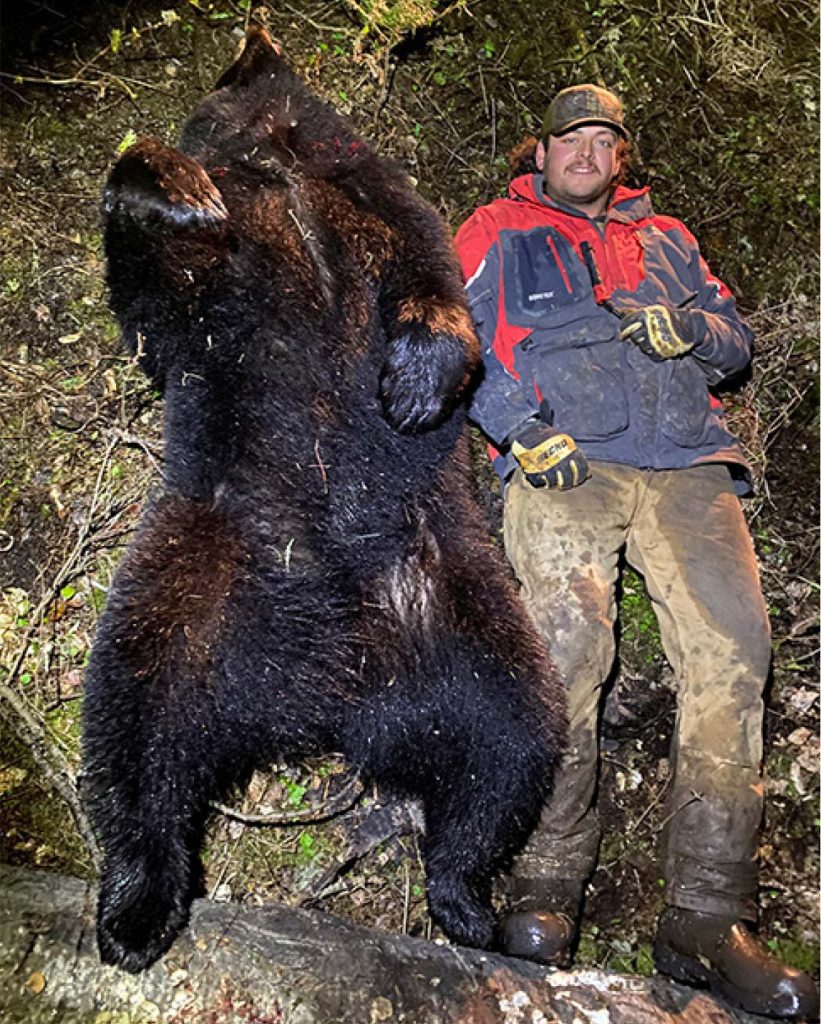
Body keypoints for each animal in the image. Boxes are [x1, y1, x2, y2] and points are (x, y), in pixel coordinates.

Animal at [81, 26, 566, 975]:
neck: (280, 160)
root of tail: (328, 703)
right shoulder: (210, 279)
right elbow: (154, 304)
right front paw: (180, 193)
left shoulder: (381, 206)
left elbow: (435, 289)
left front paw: (413, 389)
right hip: (192, 574)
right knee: (134, 723)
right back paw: (136, 906)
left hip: (461, 613)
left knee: (510, 749)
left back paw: (466, 902)